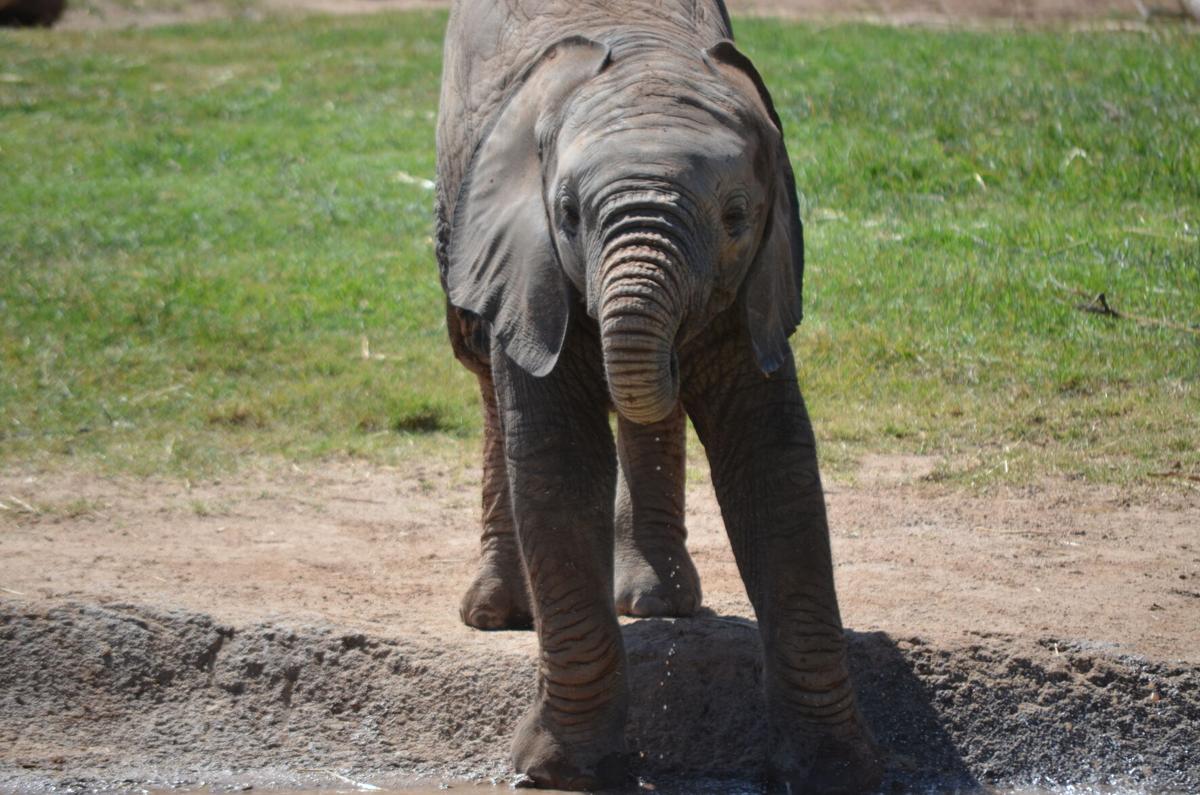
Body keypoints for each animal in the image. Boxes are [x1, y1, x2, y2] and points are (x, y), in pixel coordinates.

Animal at [434, 1, 881, 791]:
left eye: (736, 217)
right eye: (569, 214)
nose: (673, 352)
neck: (647, 55)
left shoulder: (764, 275)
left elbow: (775, 467)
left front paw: (838, 768)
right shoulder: (527, 256)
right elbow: (557, 463)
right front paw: (563, 769)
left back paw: (657, 603)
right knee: (485, 377)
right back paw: (497, 612)